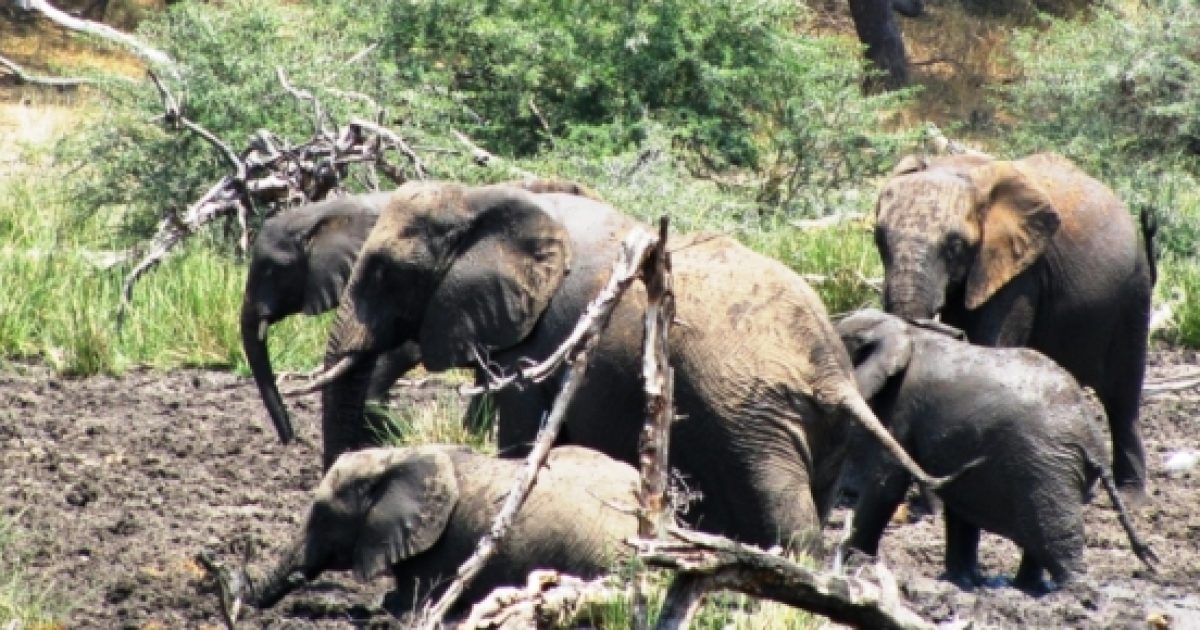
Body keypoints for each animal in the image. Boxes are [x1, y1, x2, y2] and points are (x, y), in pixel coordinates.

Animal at [309, 179, 955, 554]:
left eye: (386, 274)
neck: (487, 198)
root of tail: (829, 371)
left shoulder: (546, 336)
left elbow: (523, 435)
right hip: (821, 428)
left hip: (752, 414)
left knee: (785, 515)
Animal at [836, 309, 1156, 591]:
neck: (903, 329)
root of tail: (1092, 439)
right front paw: (961, 581)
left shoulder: (903, 404)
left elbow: (886, 481)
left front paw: (854, 561)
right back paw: (1027, 587)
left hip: (1047, 463)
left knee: (1052, 531)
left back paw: (1074, 593)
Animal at [871, 152, 1156, 500]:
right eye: (879, 240)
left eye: (954, 247)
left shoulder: (1020, 272)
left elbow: (990, 344)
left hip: (1135, 289)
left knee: (1123, 395)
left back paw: (1131, 495)